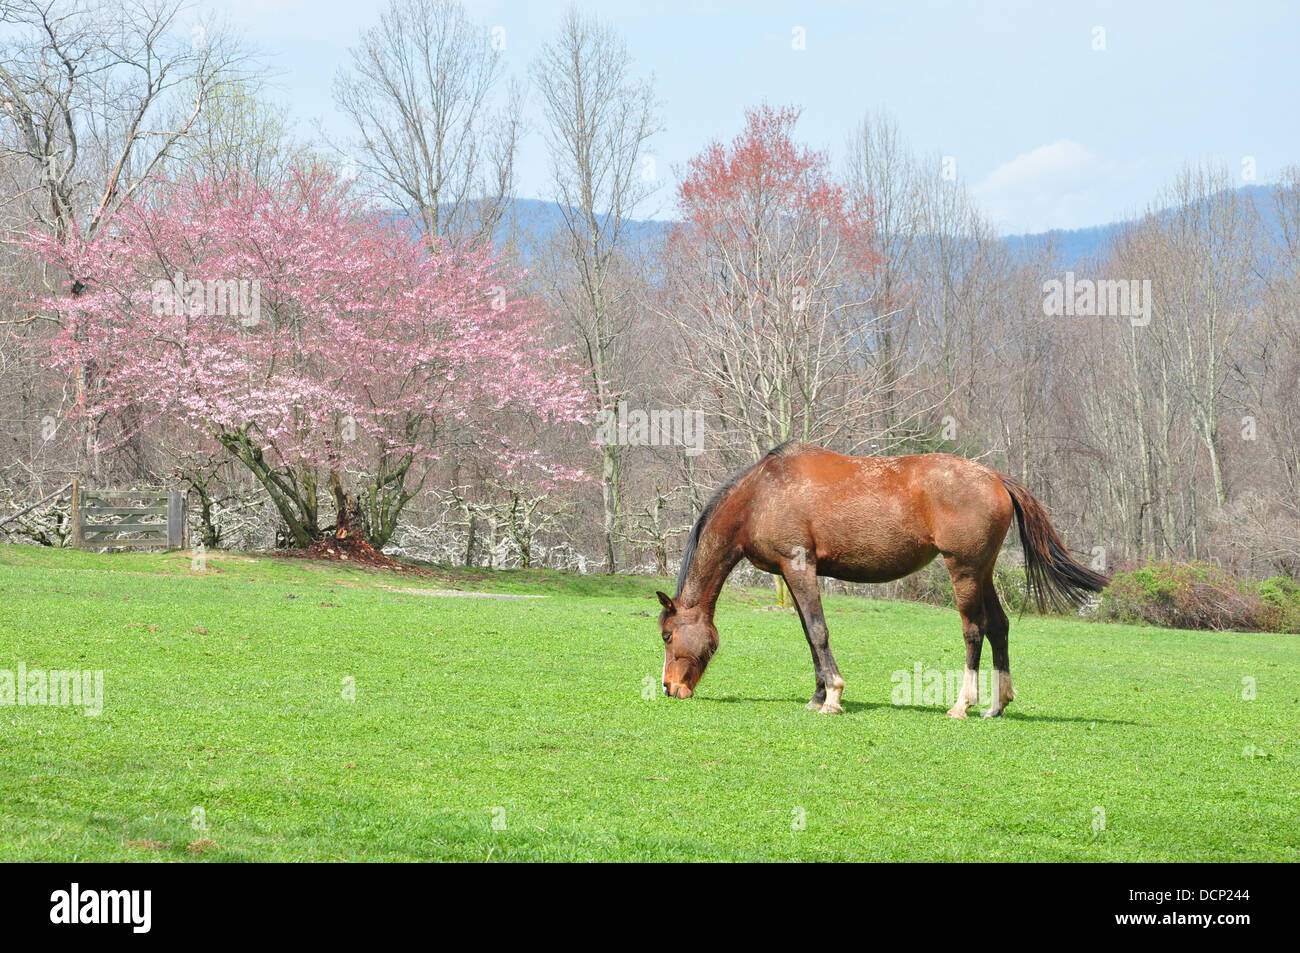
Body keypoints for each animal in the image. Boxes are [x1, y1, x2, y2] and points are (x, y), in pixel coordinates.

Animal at [655, 442, 1108, 717]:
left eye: (666, 635)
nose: (668, 688)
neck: (760, 495)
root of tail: (995, 477)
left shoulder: (799, 567)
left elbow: (818, 632)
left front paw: (833, 696)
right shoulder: (792, 573)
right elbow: (808, 635)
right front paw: (818, 695)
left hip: (963, 570)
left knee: (974, 630)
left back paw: (962, 704)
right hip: (983, 572)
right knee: (999, 626)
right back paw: (997, 705)